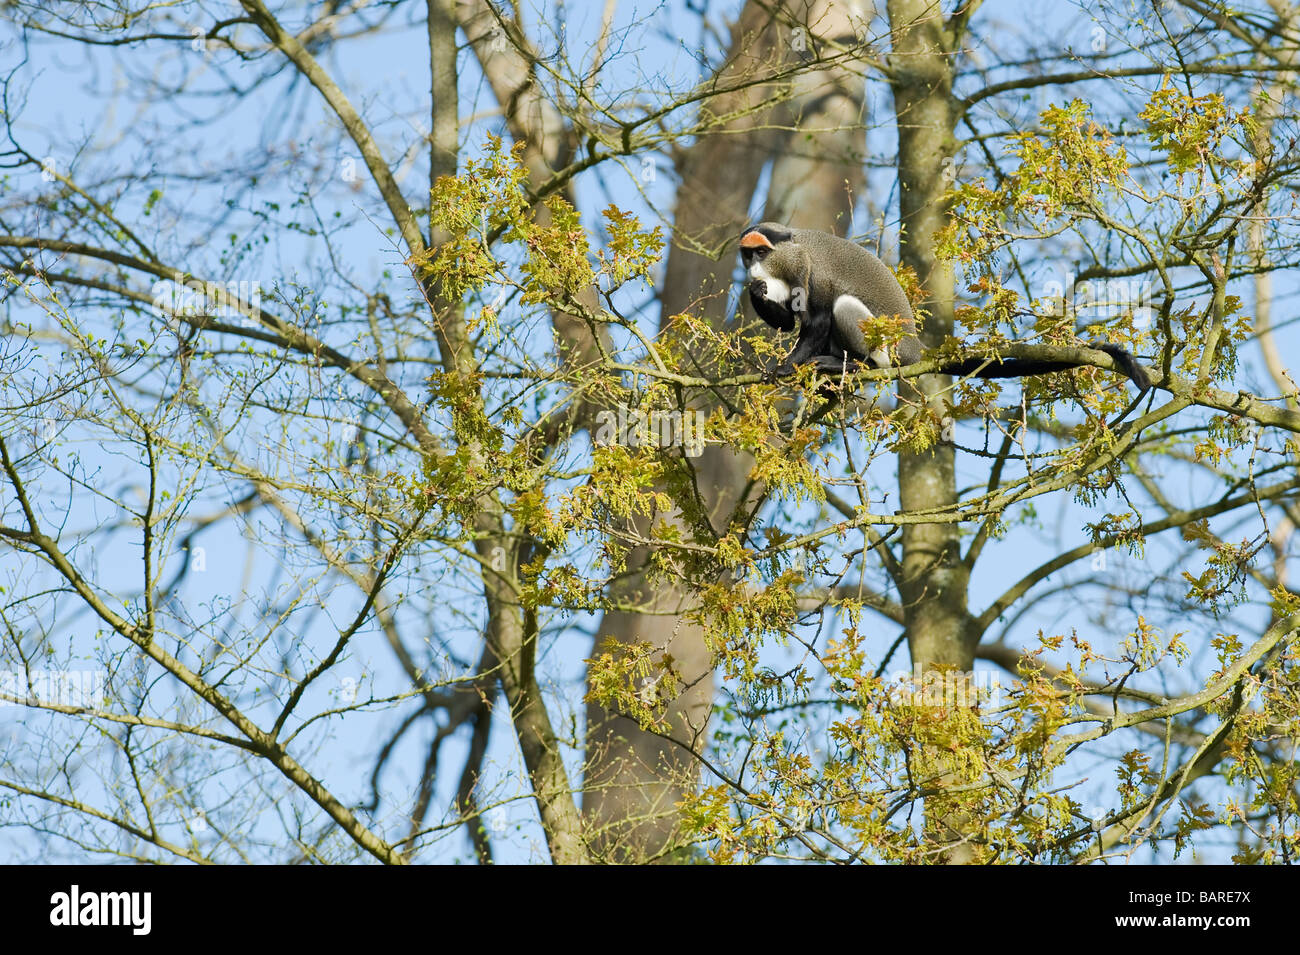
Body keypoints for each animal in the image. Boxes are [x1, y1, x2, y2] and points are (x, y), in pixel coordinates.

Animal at [739, 222, 1151, 390]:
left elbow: (819, 320)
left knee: (846, 309)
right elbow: (788, 325)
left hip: (886, 342)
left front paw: (784, 368)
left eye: (762, 253)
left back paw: (857, 366)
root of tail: (913, 346)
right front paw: (755, 292)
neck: (792, 252)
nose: (753, 270)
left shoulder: (813, 273)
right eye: (747, 256)